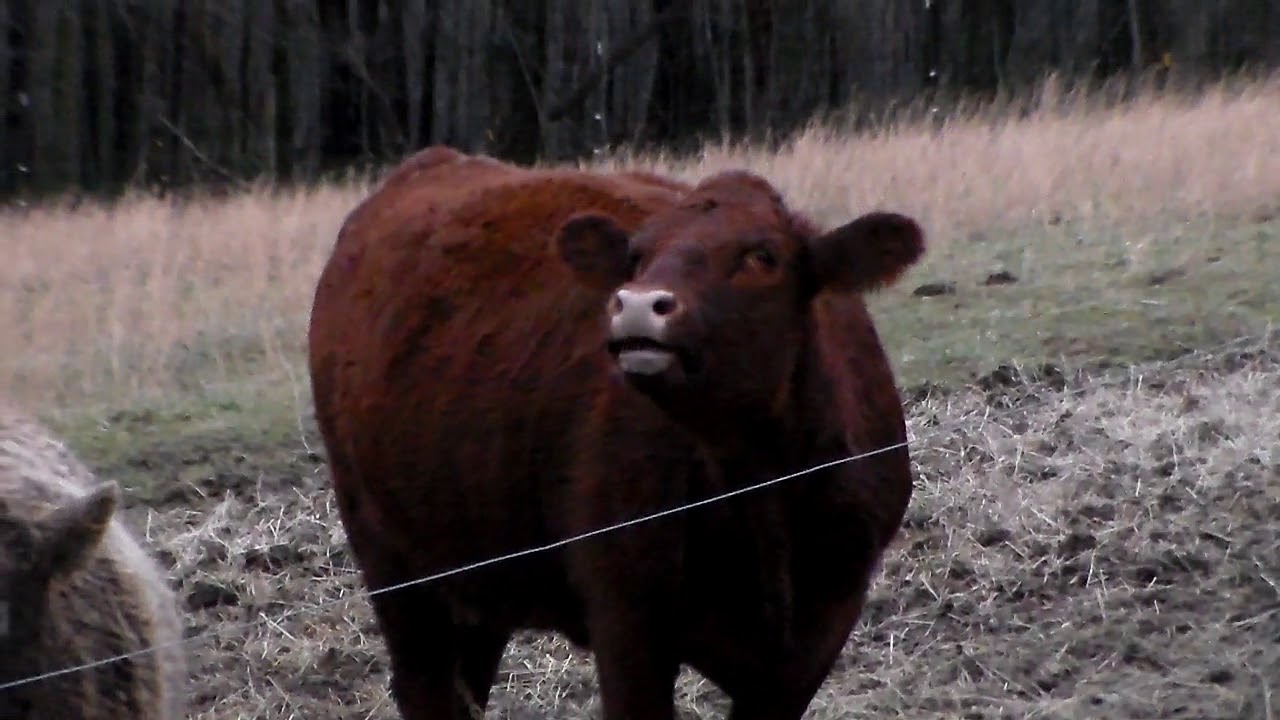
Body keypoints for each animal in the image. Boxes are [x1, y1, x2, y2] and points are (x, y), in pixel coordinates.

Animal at [307, 144, 925, 720]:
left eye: (762, 256)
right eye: (637, 256)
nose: (637, 305)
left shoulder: (819, 629)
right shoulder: (627, 615)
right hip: (389, 557)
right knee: (425, 684)